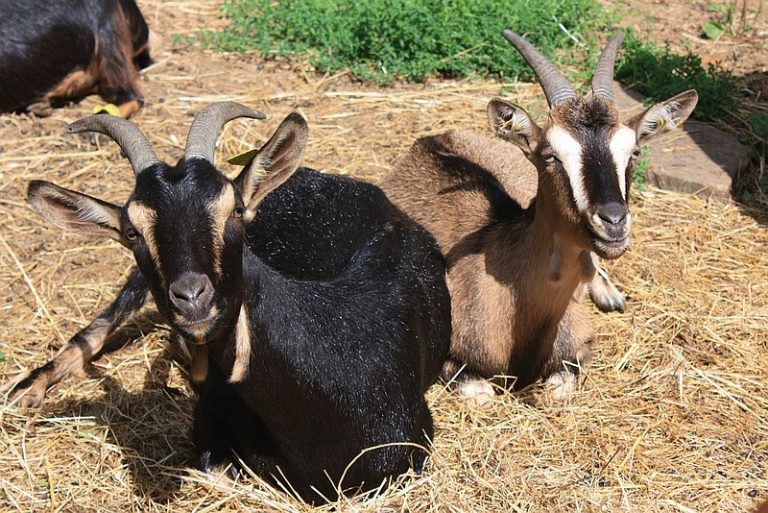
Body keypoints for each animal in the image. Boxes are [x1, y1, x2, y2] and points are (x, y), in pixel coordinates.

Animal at [382, 31, 698, 402]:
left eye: (633, 151)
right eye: (550, 155)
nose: (613, 221)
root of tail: (432, 139)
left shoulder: (578, 348)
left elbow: (558, 389)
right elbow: (482, 394)